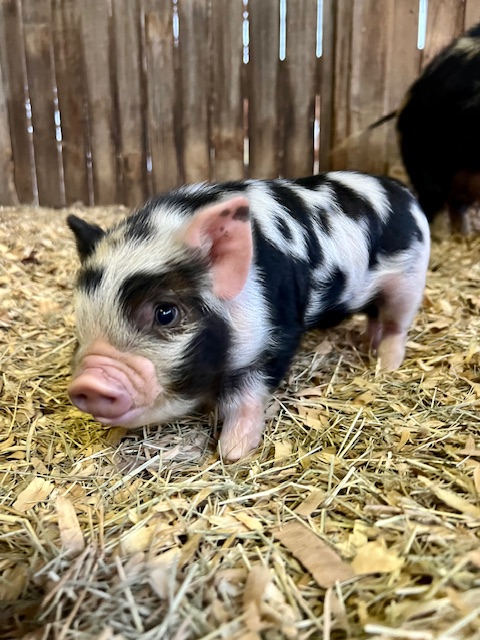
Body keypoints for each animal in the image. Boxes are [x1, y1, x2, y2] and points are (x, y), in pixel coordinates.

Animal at [67, 172, 430, 461]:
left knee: (396, 324)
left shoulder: (278, 334)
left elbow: (247, 396)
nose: (89, 383)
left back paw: (386, 366)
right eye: (80, 313)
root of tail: (403, 192)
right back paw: (370, 345)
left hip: (409, 280)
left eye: (165, 313)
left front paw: (233, 452)